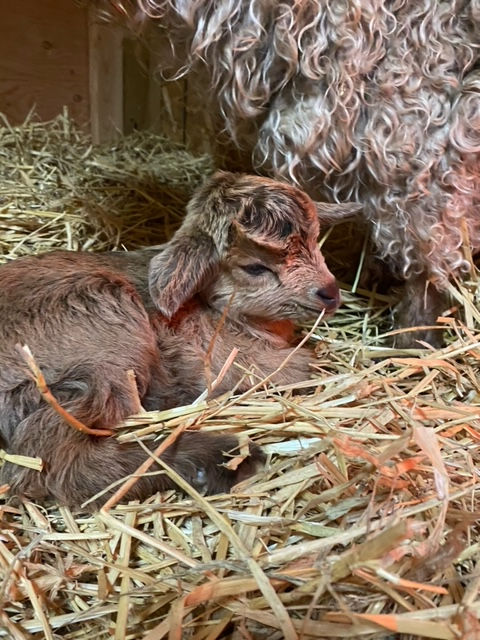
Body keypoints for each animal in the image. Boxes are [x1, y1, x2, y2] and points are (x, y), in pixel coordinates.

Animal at [0, 171, 359, 509]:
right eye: (255, 267)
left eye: (316, 242)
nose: (330, 293)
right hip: (108, 337)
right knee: (63, 461)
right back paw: (221, 459)